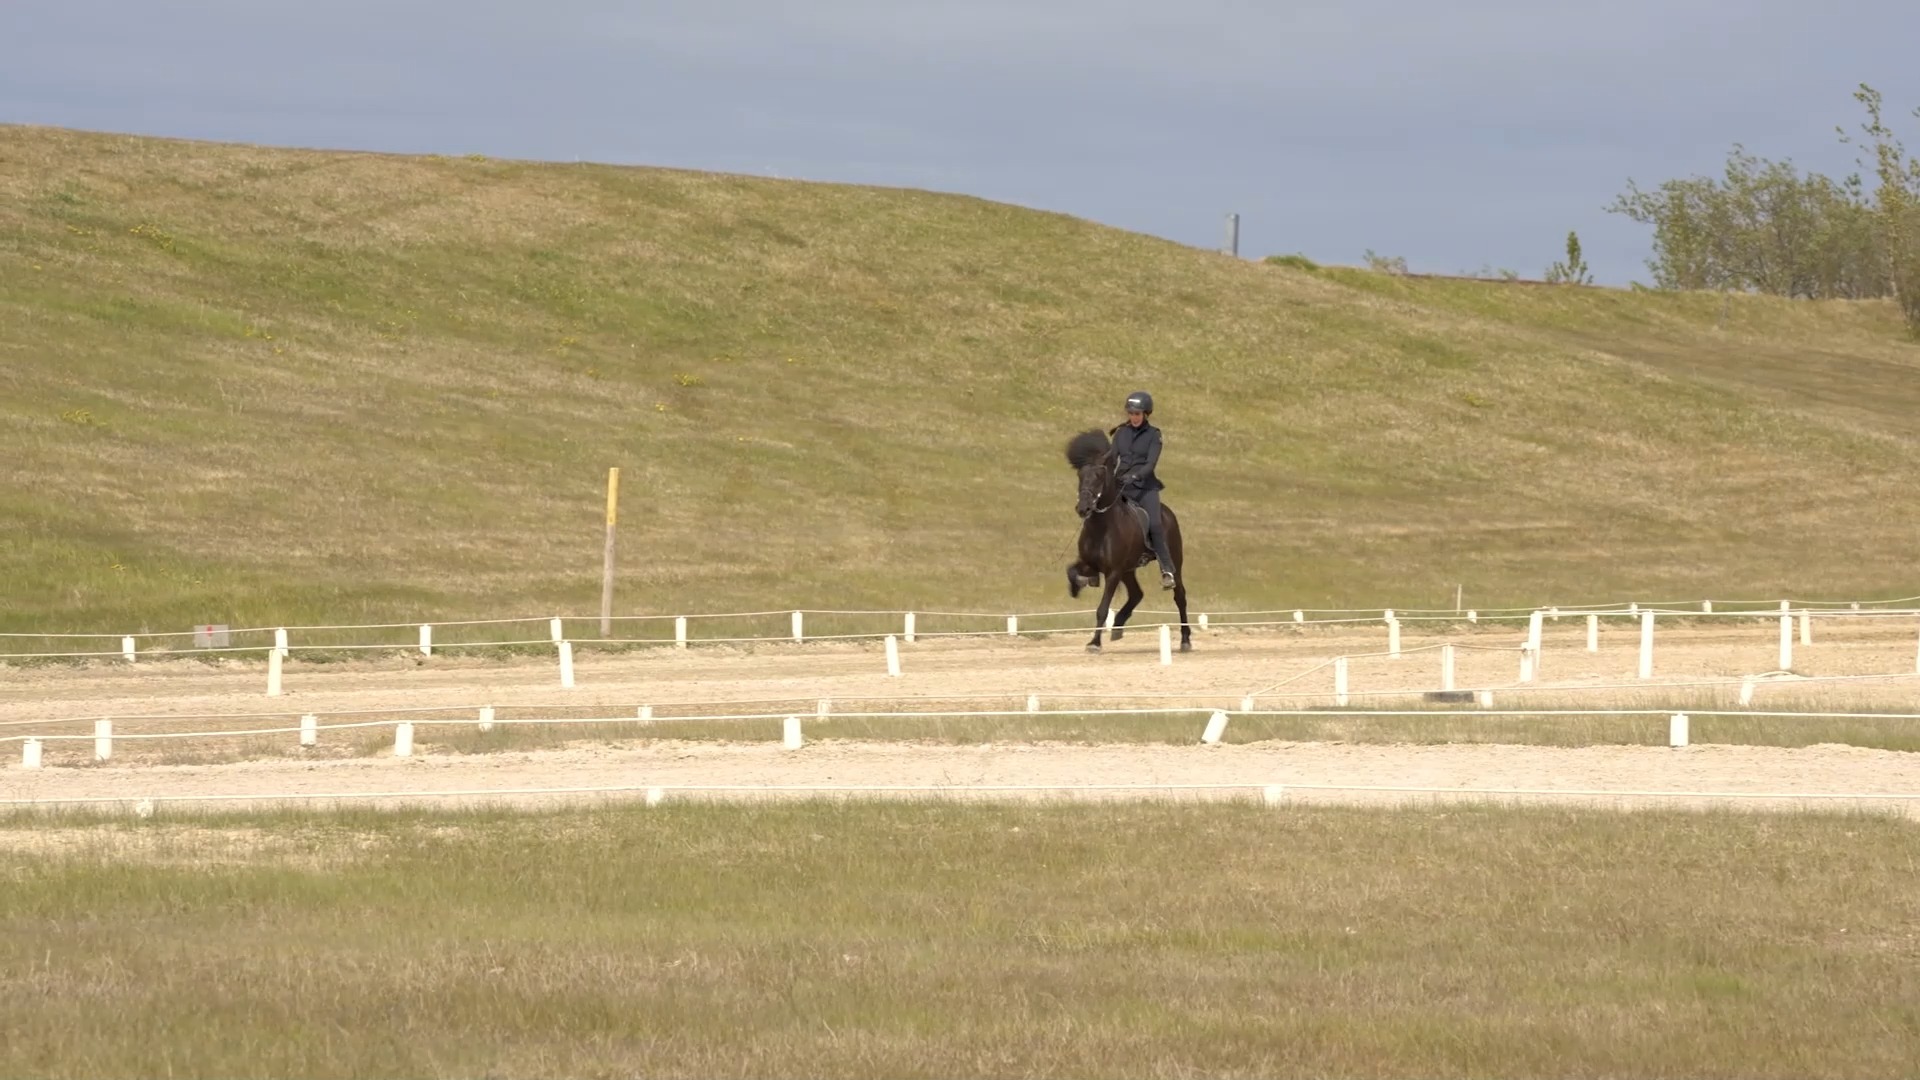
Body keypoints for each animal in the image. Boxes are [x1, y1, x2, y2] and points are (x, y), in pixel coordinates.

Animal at [1063, 428, 1193, 653]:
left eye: (1099, 476)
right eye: (1080, 475)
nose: (1083, 508)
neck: (1102, 526)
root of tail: (1167, 513)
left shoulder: (1113, 572)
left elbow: (1102, 609)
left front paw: (1094, 643)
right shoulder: (1091, 564)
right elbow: (1071, 571)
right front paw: (1078, 585)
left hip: (1173, 561)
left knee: (1180, 597)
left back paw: (1185, 640)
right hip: (1128, 570)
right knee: (1136, 594)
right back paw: (1118, 626)